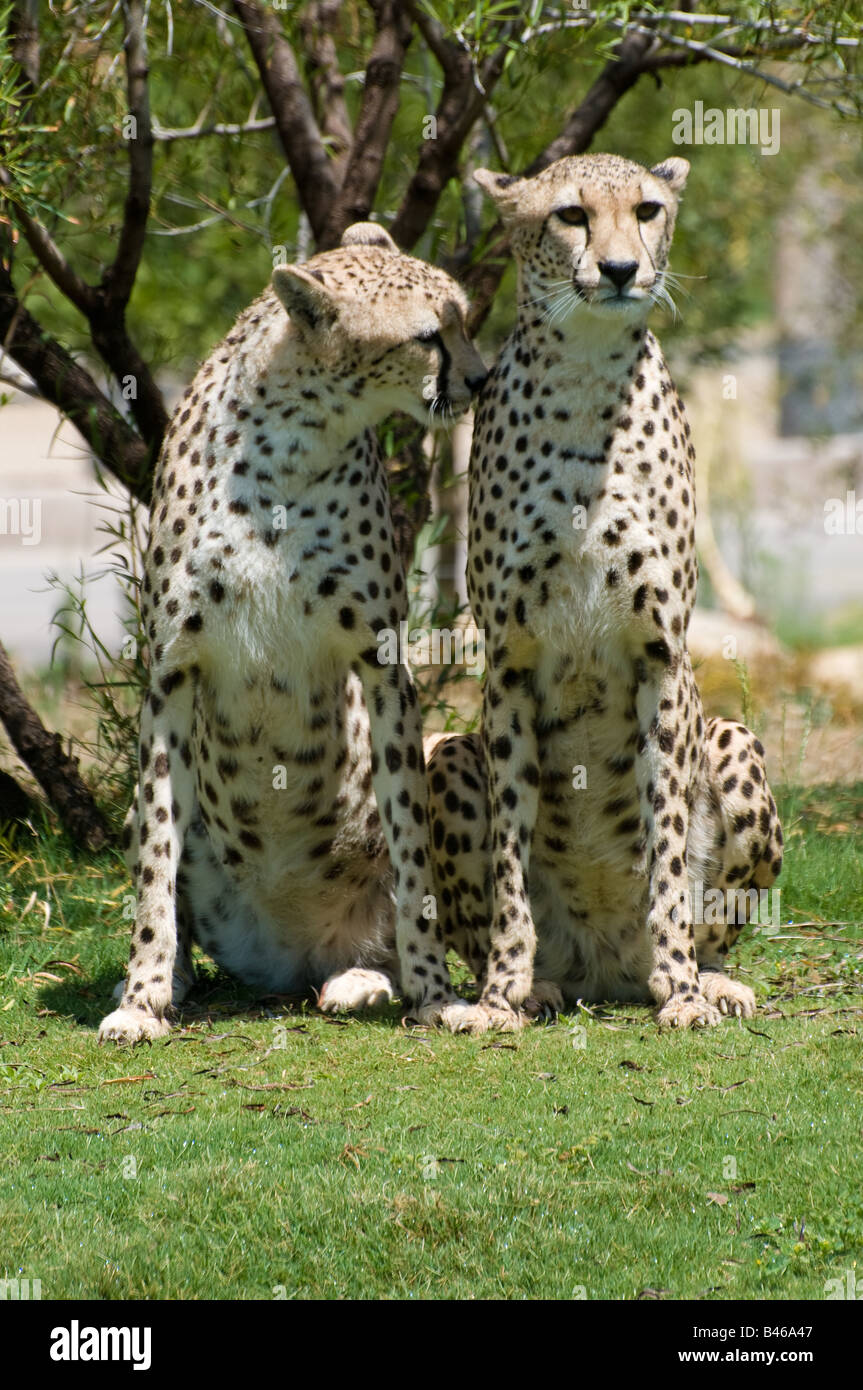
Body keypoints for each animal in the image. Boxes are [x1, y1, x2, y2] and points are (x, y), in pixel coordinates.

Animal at [98, 222, 487, 1045]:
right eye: (428, 336)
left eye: (465, 320)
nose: (480, 379)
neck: (296, 433)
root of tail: (290, 959)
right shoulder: (169, 675)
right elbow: (154, 861)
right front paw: (141, 998)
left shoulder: (383, 666)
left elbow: (411, 854)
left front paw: (436, 996)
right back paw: (175, 980)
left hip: (448, 752)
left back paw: (366, 979)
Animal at [424, 154, 783, 1034]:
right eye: (570, 215)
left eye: (647, 209)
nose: (621, 269)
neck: (586, 375)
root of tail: (604, 968)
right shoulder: (508, 664)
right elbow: (508, 869)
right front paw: (498, 996)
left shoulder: (659, 657)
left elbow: (666, 853)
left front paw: (681, 992)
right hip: (446, 756)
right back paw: (538, 985)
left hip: (734, 741)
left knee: (711, 917)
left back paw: (706, 980)